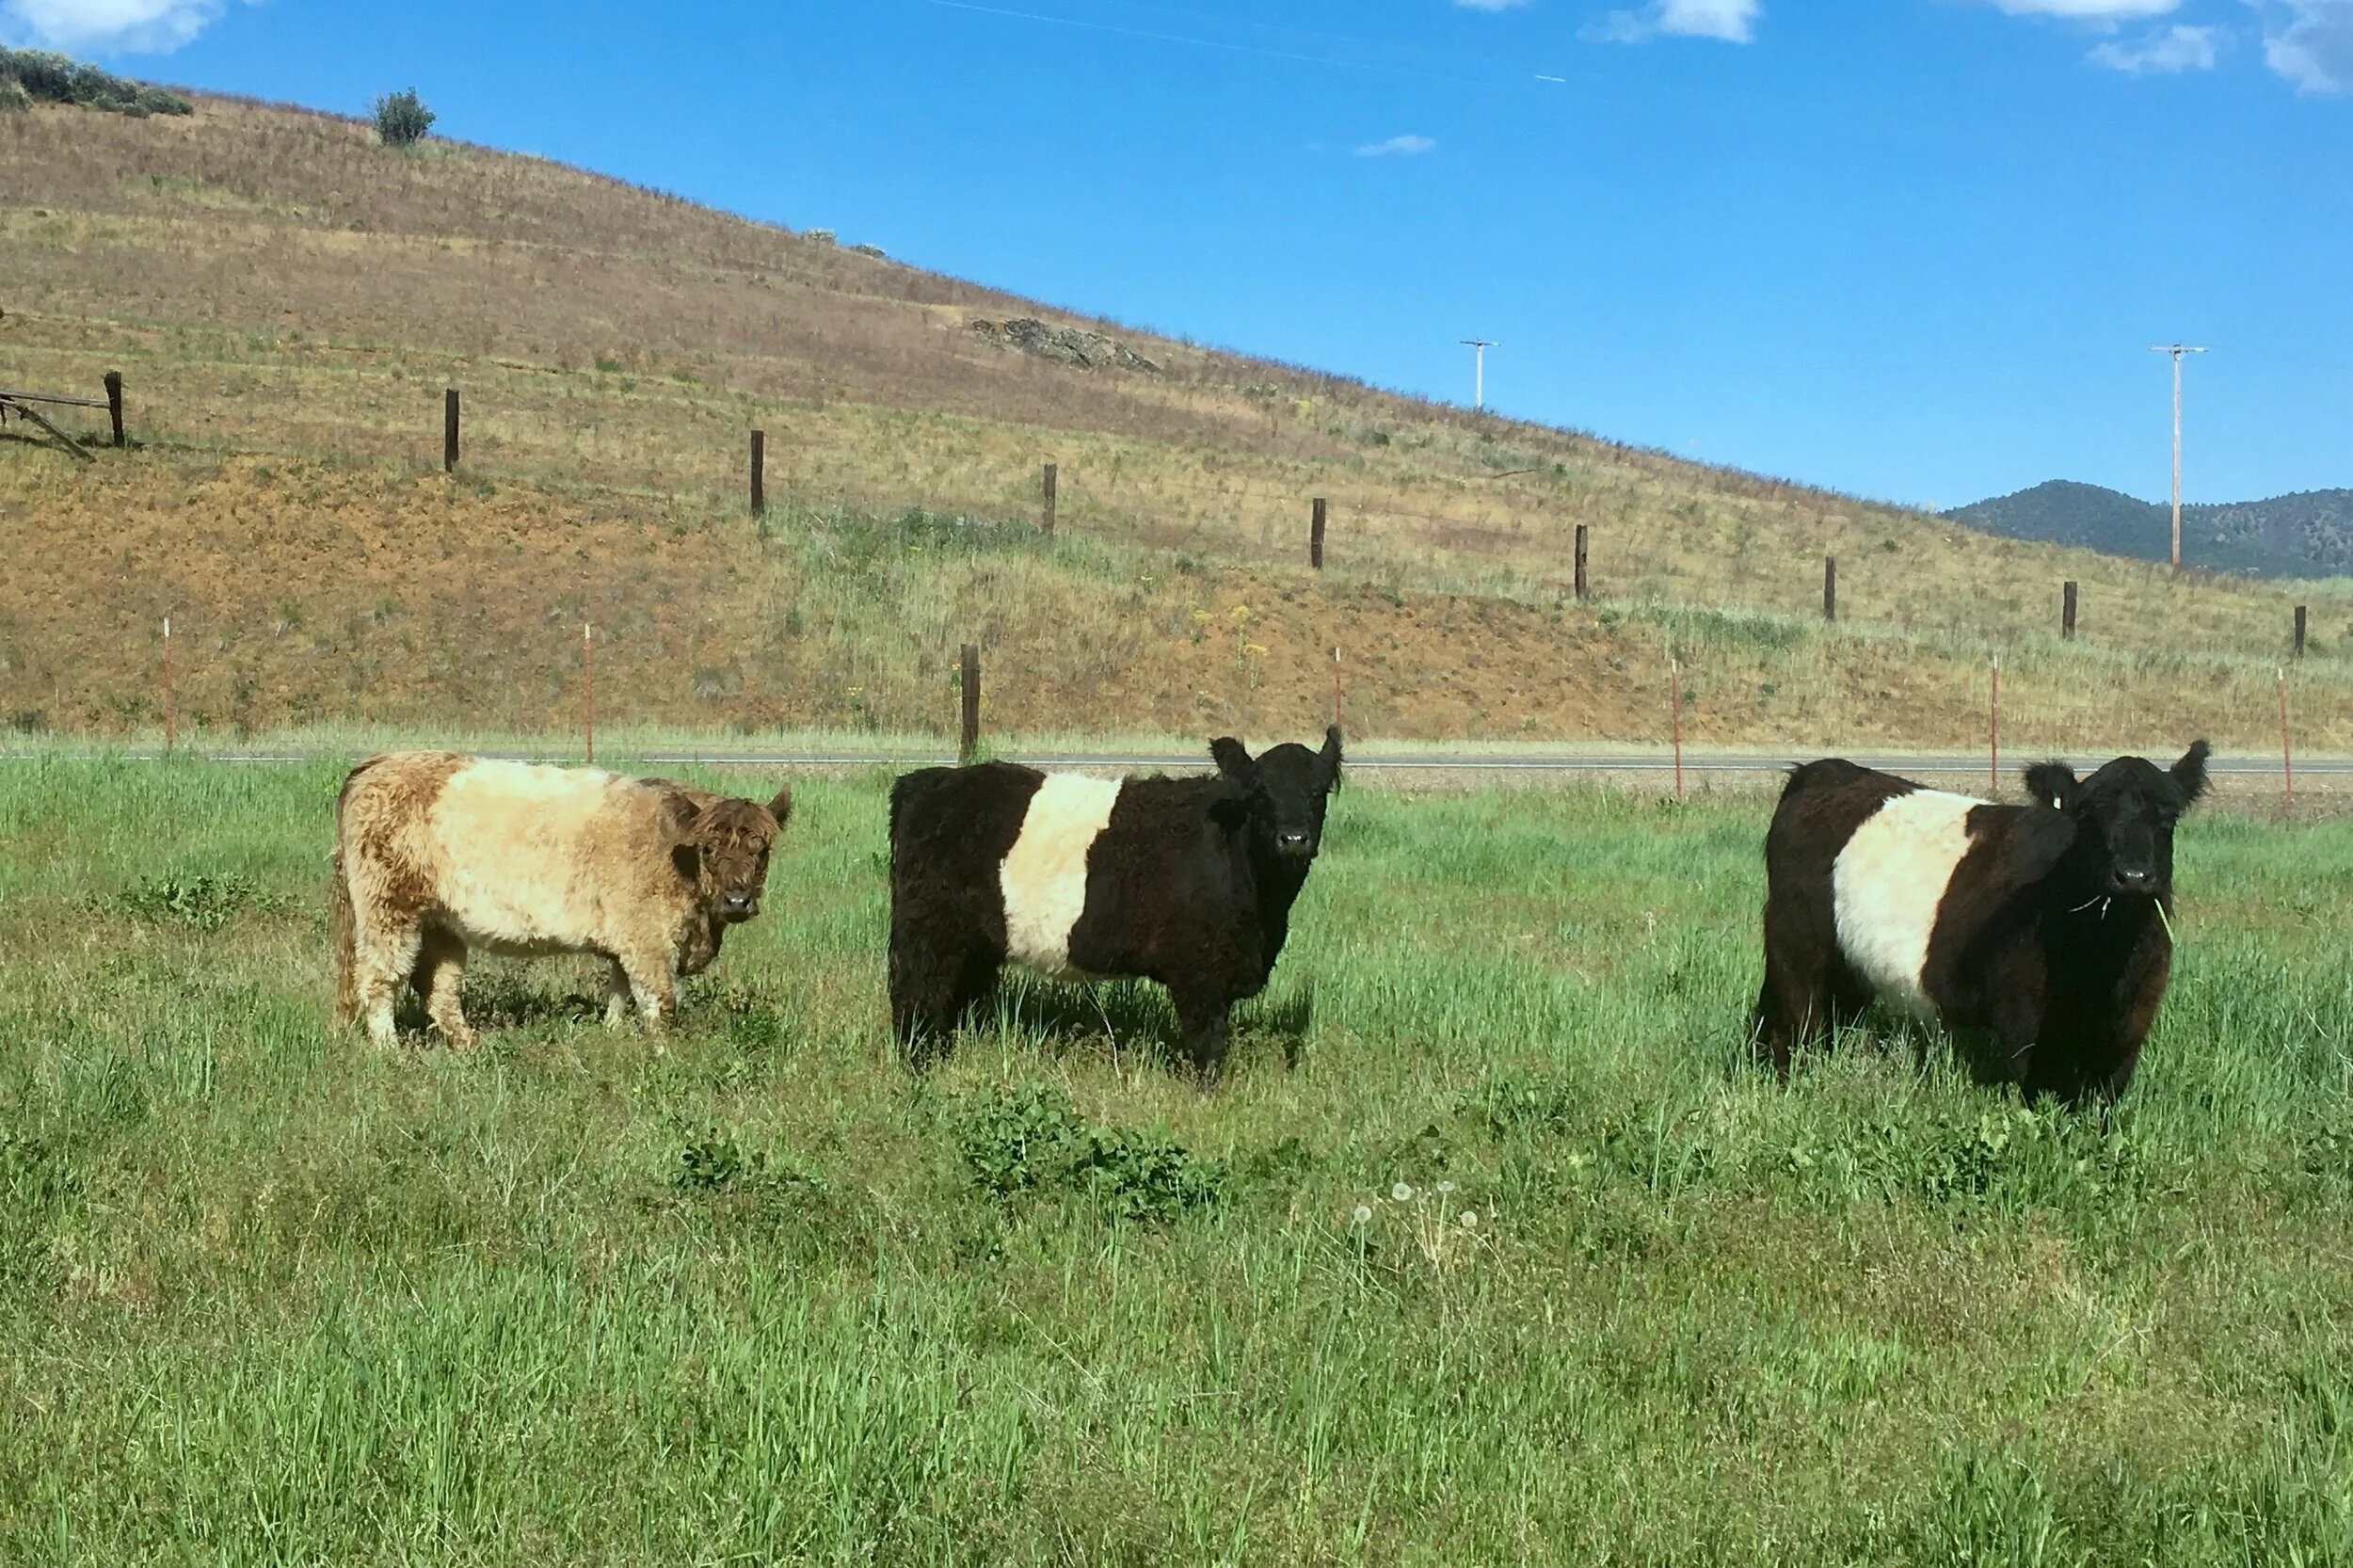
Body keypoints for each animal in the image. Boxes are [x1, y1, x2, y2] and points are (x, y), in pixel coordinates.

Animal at [330, 752, 792, 1050]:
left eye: (763, 850)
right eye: (708, 849)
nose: (737, 900)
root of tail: (377, 765)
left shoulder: (627, 939)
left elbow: (619, 992)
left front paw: (612, 1034)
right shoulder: (649, 939)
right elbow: (658, 1001)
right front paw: (663, 1053)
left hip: (442, 922)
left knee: (438, 986)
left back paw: (470, 1044)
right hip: (388, 910)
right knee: (378, 978)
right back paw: (389, 1050)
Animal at [887, 728, 1344, 1083]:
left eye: (1318, 792)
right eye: (1260, 793)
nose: (1294, 838)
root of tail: (927, 782)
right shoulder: (1199, 971)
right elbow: (1208, 1042)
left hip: (977, 944)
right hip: (928, 934)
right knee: (916, 998)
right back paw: (917, 1066)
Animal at [1753, 742, 2210, 1106]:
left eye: (2168, 817)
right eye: (2090, 817)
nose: (2133, 876)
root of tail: (1823, 769)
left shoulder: (2132, 1021)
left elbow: (2104, 1103)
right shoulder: (2025, 1017)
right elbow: (2041, 1095)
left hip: (1848, 965)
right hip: (1796, 946)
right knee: (1794, 1025)